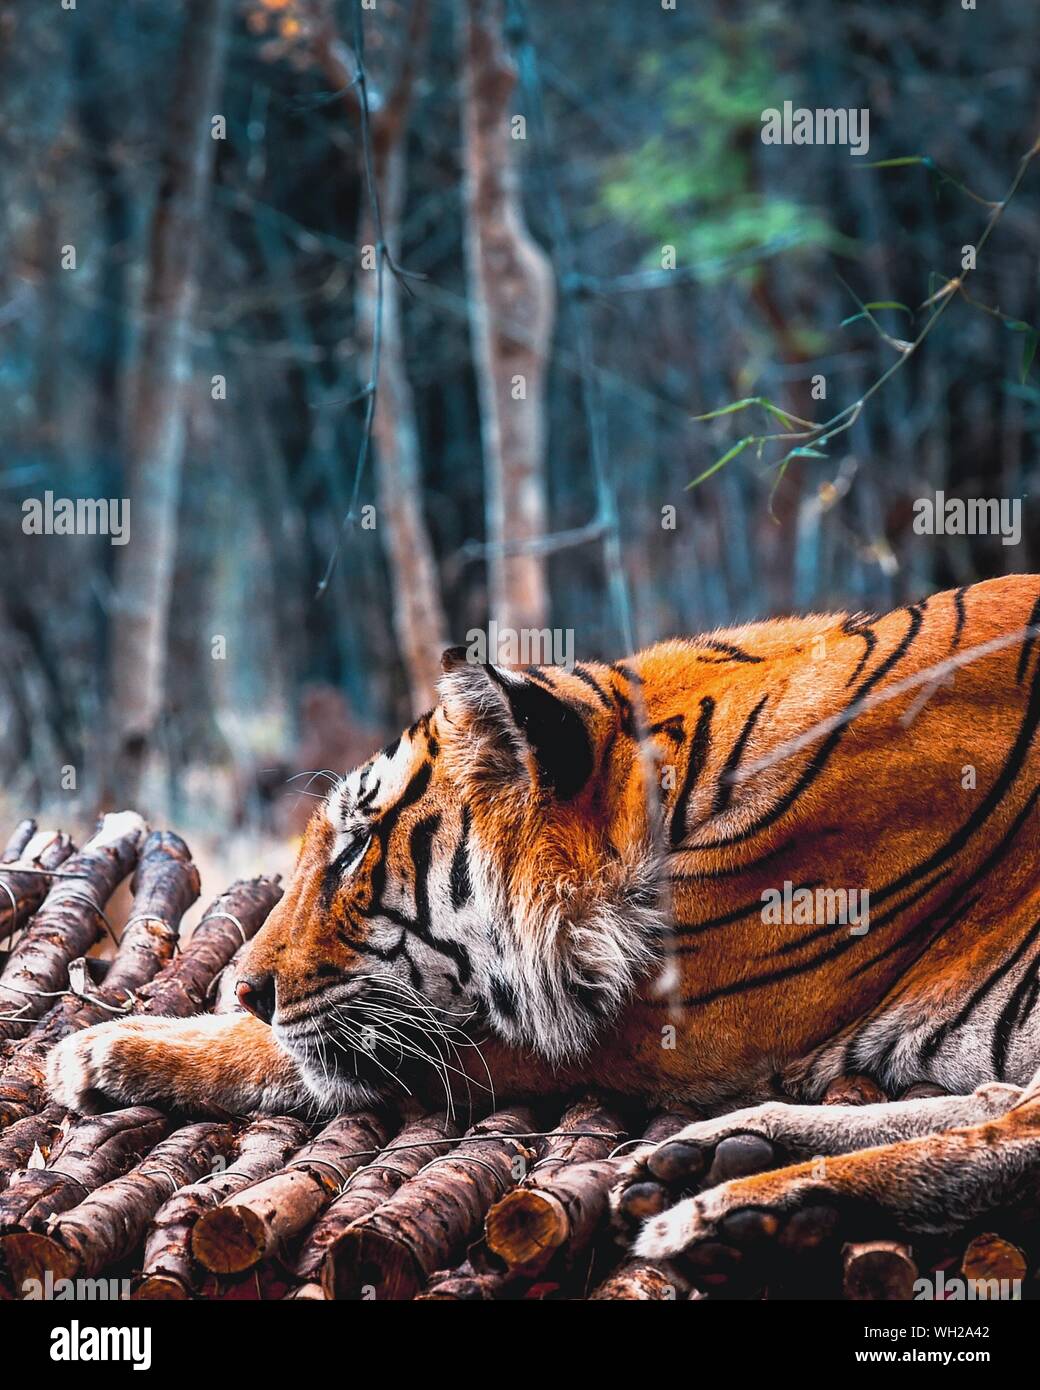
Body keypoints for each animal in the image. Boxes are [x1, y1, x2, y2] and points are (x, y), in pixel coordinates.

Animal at [48, 572, 1040, 1273]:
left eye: (357, 845)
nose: (249, 988)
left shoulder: (644, 1030)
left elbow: (312, 1053)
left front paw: (97, 1050)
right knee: (995, 1103)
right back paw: (717, 1158)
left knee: (1007, 1131)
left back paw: (738, 1215)